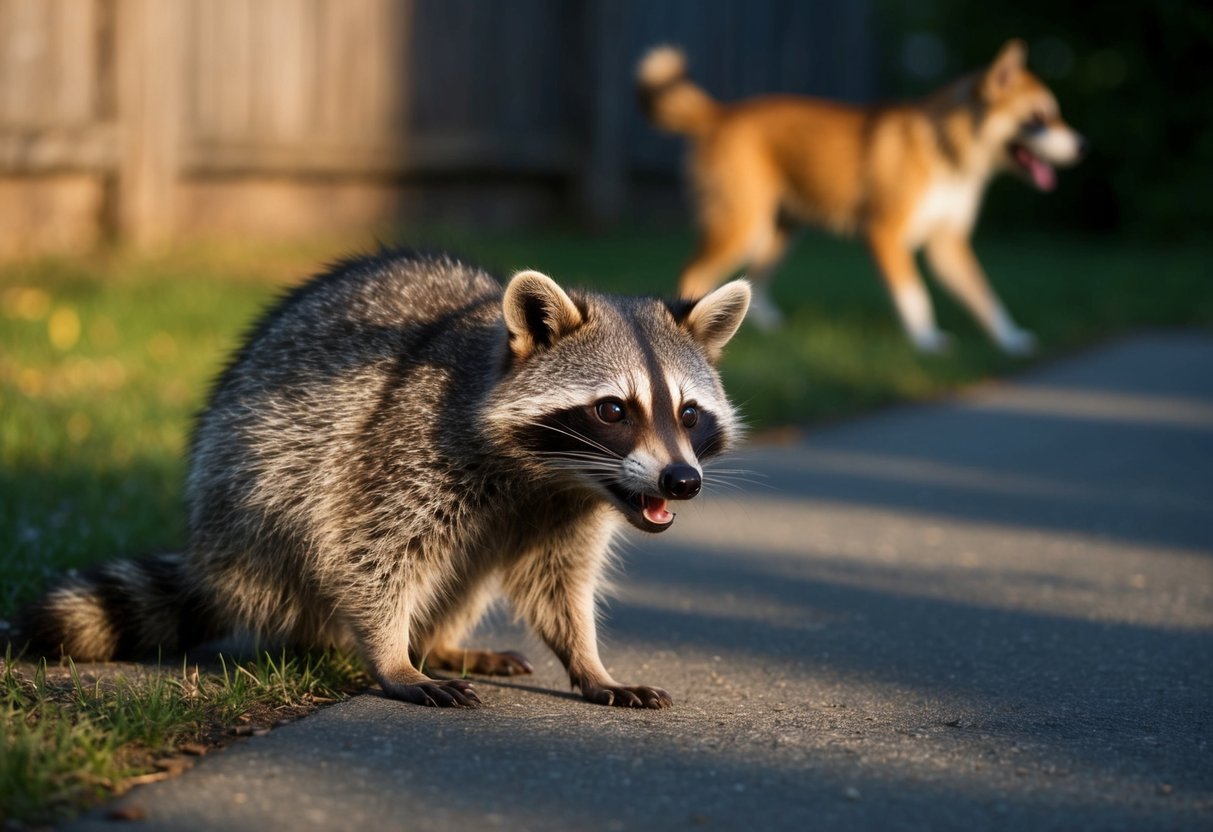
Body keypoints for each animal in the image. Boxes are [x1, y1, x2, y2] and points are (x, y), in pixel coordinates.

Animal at [15, 250, 750, 708]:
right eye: (613, 410)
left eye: (688, 413)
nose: (681, 481)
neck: (550, 475)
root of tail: (217, 560)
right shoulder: (409, 444)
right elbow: (369, 550)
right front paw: (391, 655)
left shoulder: (566, 509)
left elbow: (558, 581)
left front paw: (588, 661)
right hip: (251, 495)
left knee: (469, 570)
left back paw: (444, 640)